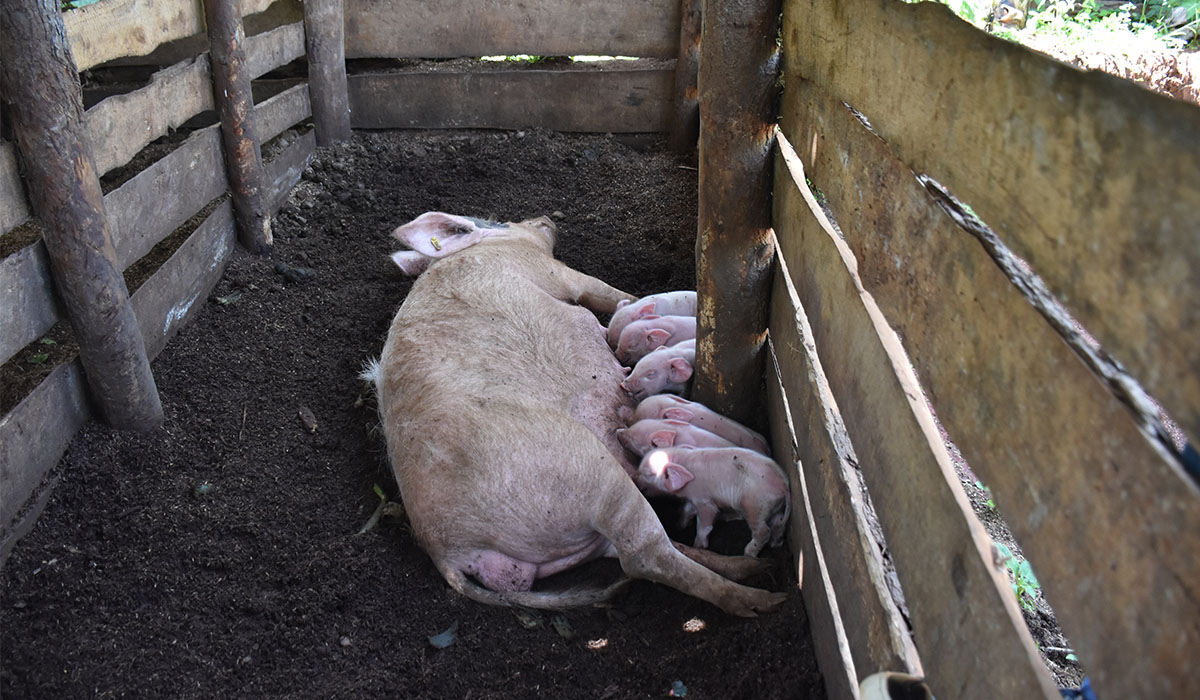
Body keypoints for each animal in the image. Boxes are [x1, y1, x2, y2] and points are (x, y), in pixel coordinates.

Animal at [636, 446, 791, 557]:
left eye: (647, 473)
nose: (634, 477)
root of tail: (784, 484)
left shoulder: (705, 501)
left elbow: (704, 525)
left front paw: (697, 546)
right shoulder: (693, 499)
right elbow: (687, 510)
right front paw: (680, 525)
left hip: (756, 506)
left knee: (763, 531)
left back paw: (748, 553)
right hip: (773, 507)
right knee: (778, 523)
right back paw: (775, 545)